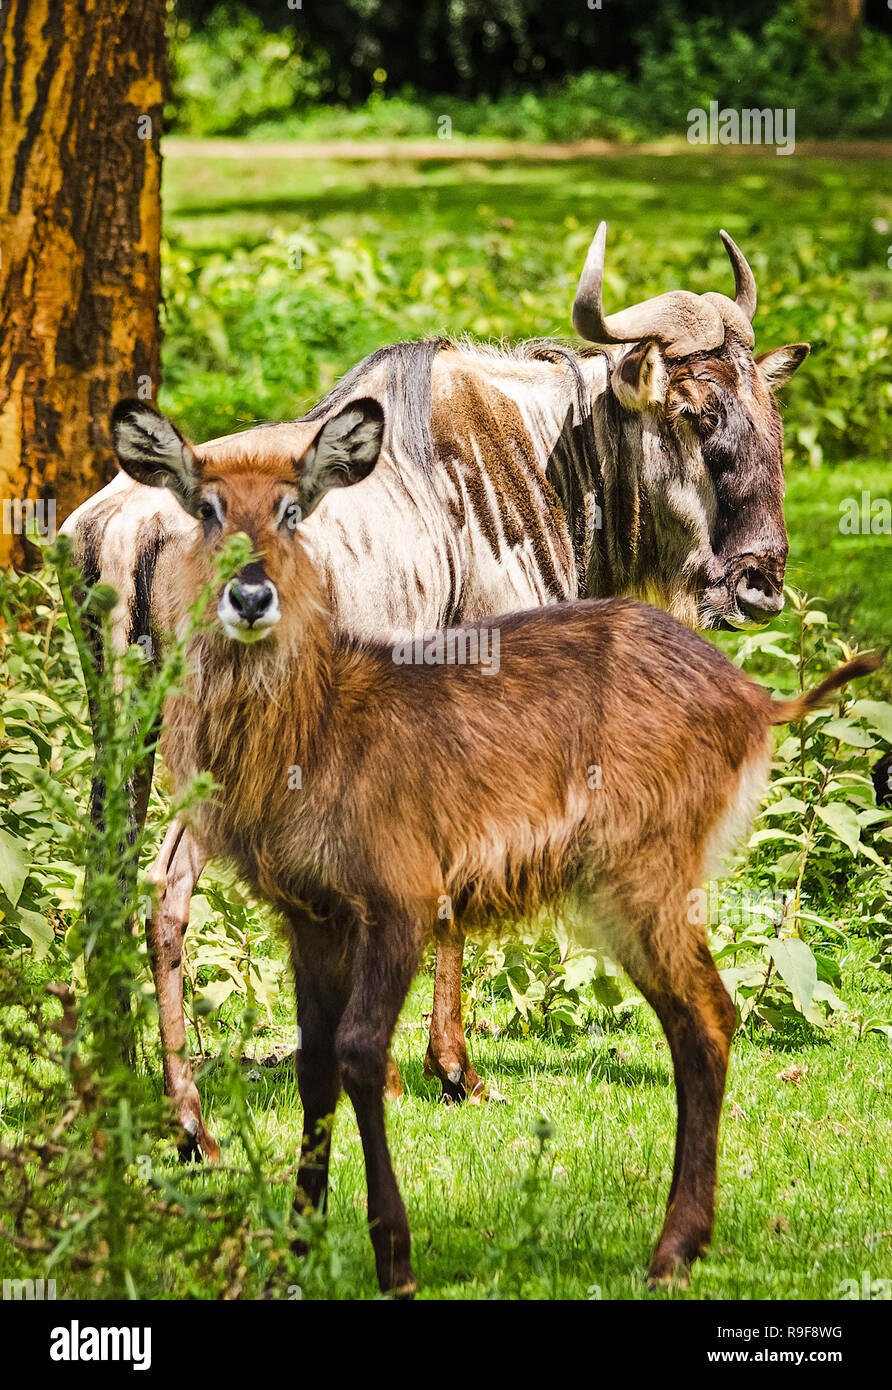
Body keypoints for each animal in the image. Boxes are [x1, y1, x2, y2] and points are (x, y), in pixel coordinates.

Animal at [63, 224, 809, 1153]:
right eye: (696, 414)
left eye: (768, 414)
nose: (760, 586)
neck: (550, 458)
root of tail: (128, 524)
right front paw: (454, 1071)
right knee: (166, 890)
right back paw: (191, 1122)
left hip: (120, 739)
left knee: (106, 876)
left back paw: (114, 1086)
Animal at [109, 392, 878, 1294]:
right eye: (207, 508)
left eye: (293, 511)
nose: (251, 595)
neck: (315, 728)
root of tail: (755, 697)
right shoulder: (311, 918)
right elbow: (313, 1067)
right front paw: (296, 1245)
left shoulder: (401, 899)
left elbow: (361, 1054)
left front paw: (393, 1254)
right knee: (700, 1019)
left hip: (642, 878)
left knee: (709, 1017)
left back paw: (672, 1251)